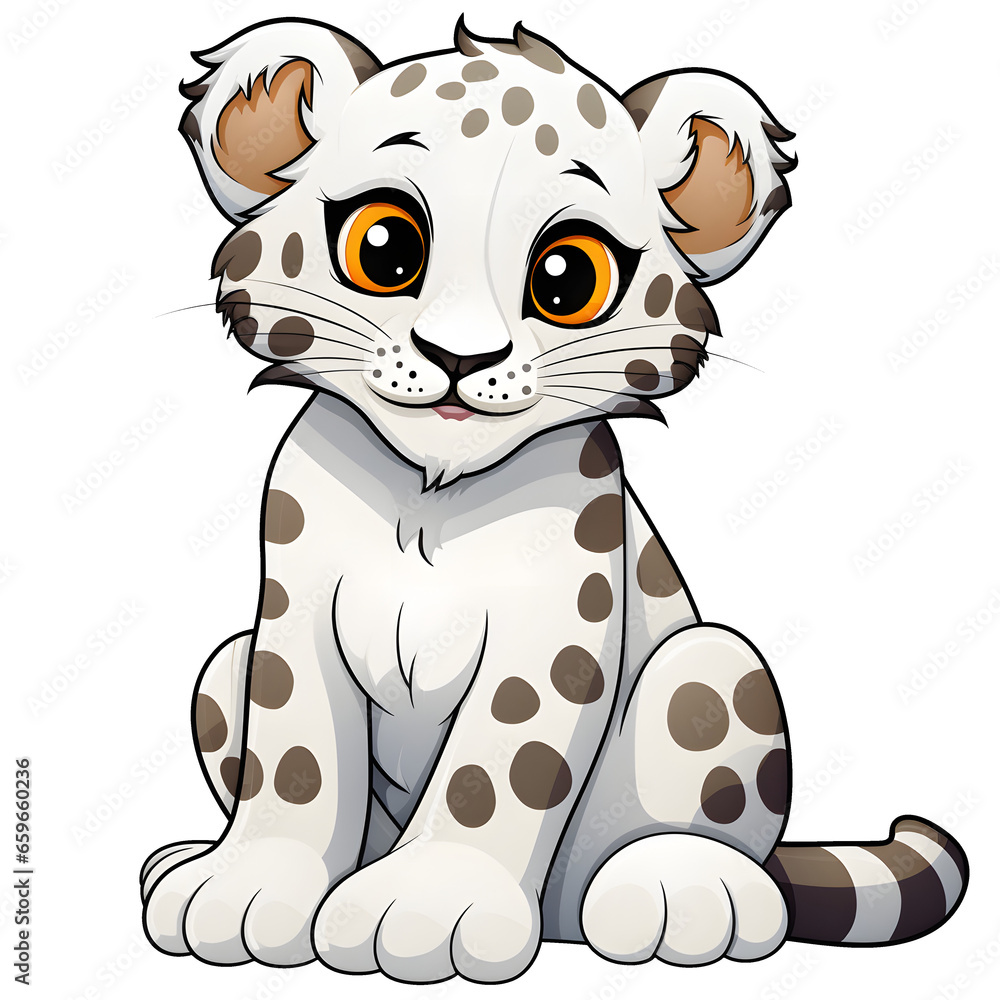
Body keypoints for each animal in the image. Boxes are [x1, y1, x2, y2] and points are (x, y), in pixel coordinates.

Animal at [140, 16, 969, 984]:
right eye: (385, 247)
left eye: (568, 275)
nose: (460, 358)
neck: (428, 499)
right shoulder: (292, 609)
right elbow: (293, 756)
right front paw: (249, 888)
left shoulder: (555, 623)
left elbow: (494, 767)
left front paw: (429, 905)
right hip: (219, 671)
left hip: (711, 668)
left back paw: (682, 890)